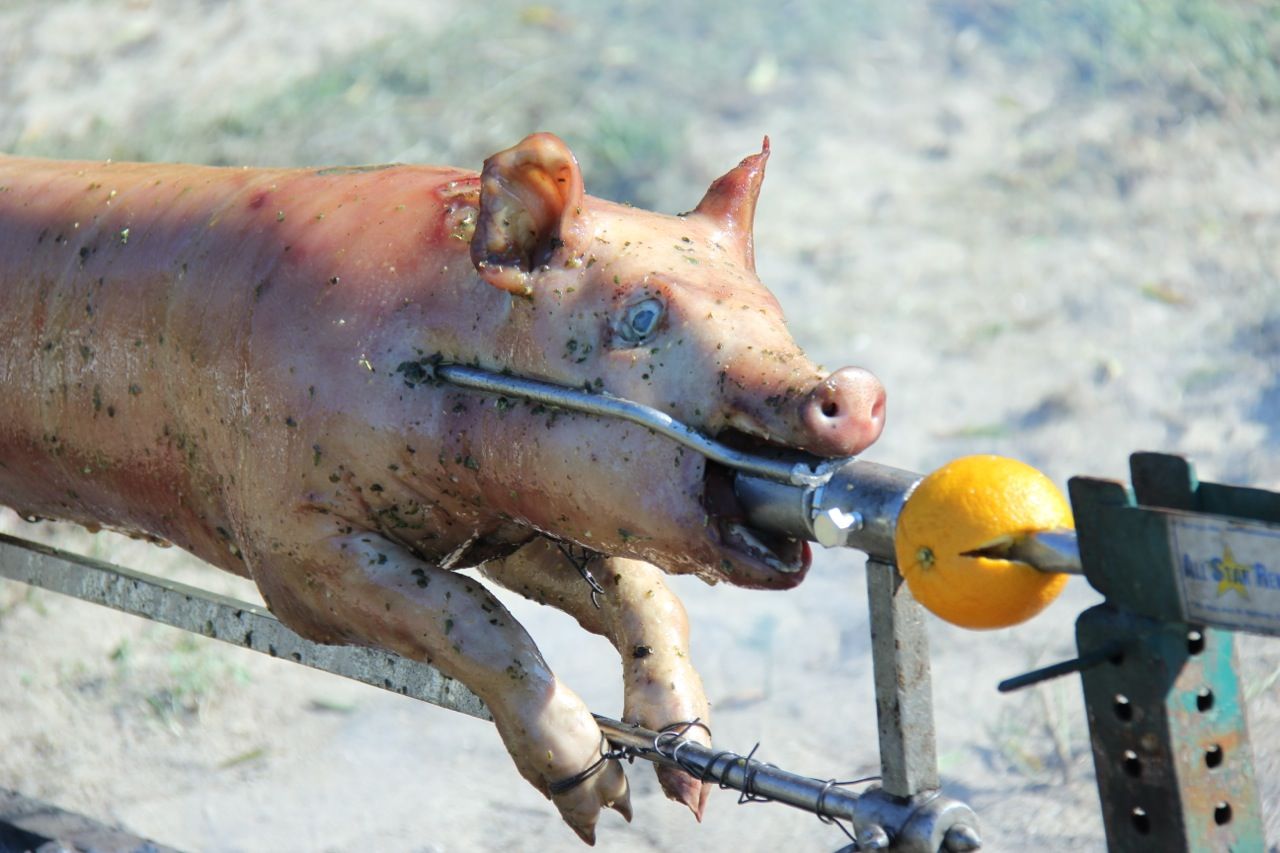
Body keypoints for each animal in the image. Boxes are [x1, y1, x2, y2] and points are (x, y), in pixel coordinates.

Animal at [0, 133, 885, 842]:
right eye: (641, 315)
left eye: (771, 307)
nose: (854, 390)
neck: (435, 350)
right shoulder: (289, 541)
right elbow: (468, 614)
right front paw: (599, 797)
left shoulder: (511, 523)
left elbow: (642, 591)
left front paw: (686, 767)